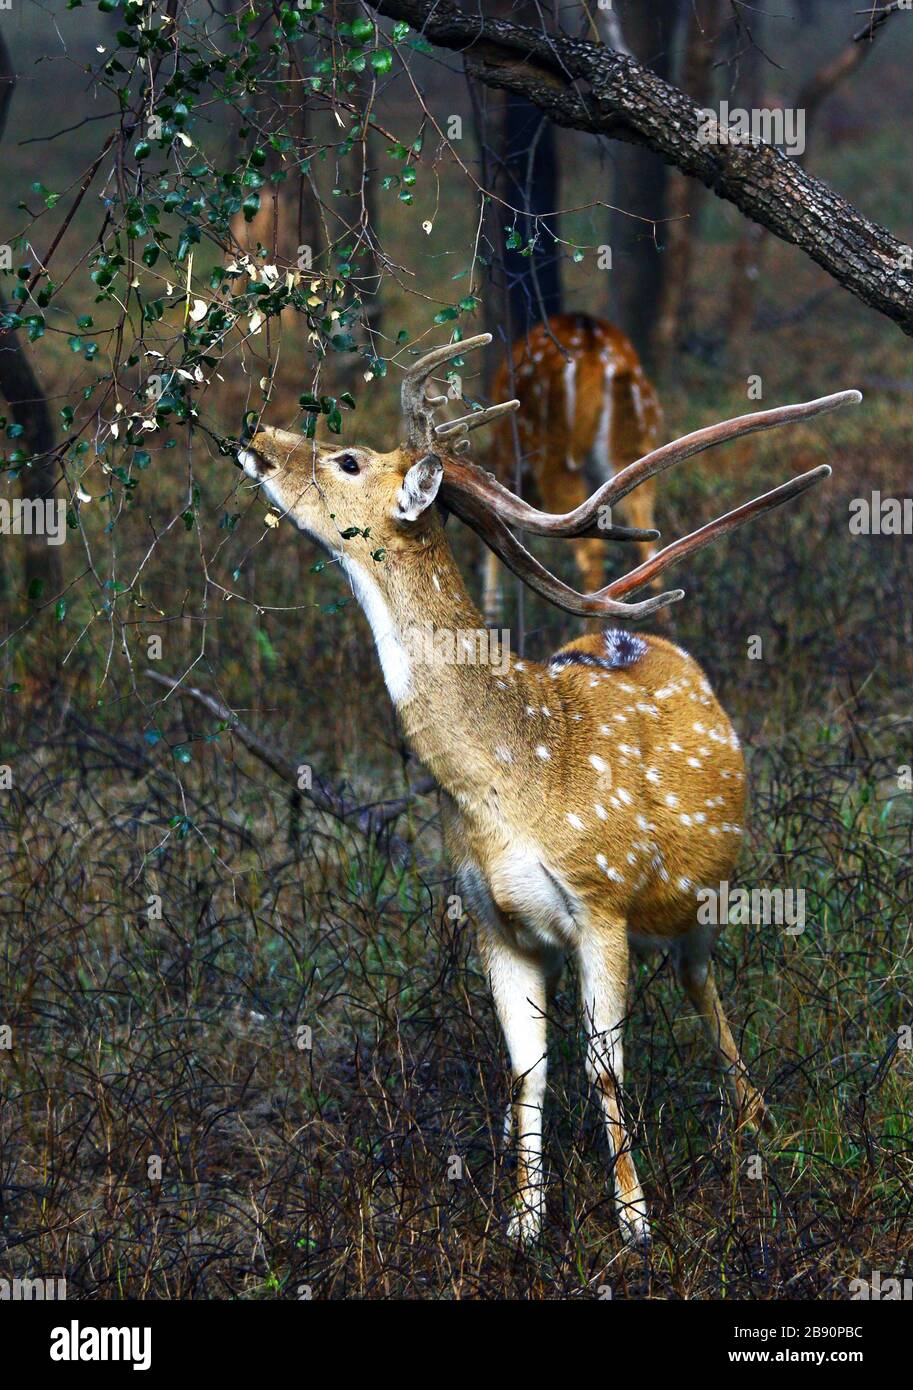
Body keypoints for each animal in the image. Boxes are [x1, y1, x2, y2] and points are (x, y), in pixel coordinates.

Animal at [482, 313, 663, 625]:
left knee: (590, 550)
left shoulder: (506, 458)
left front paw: (492, 613)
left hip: (553, 454)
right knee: (651, 545)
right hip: (637, 440)